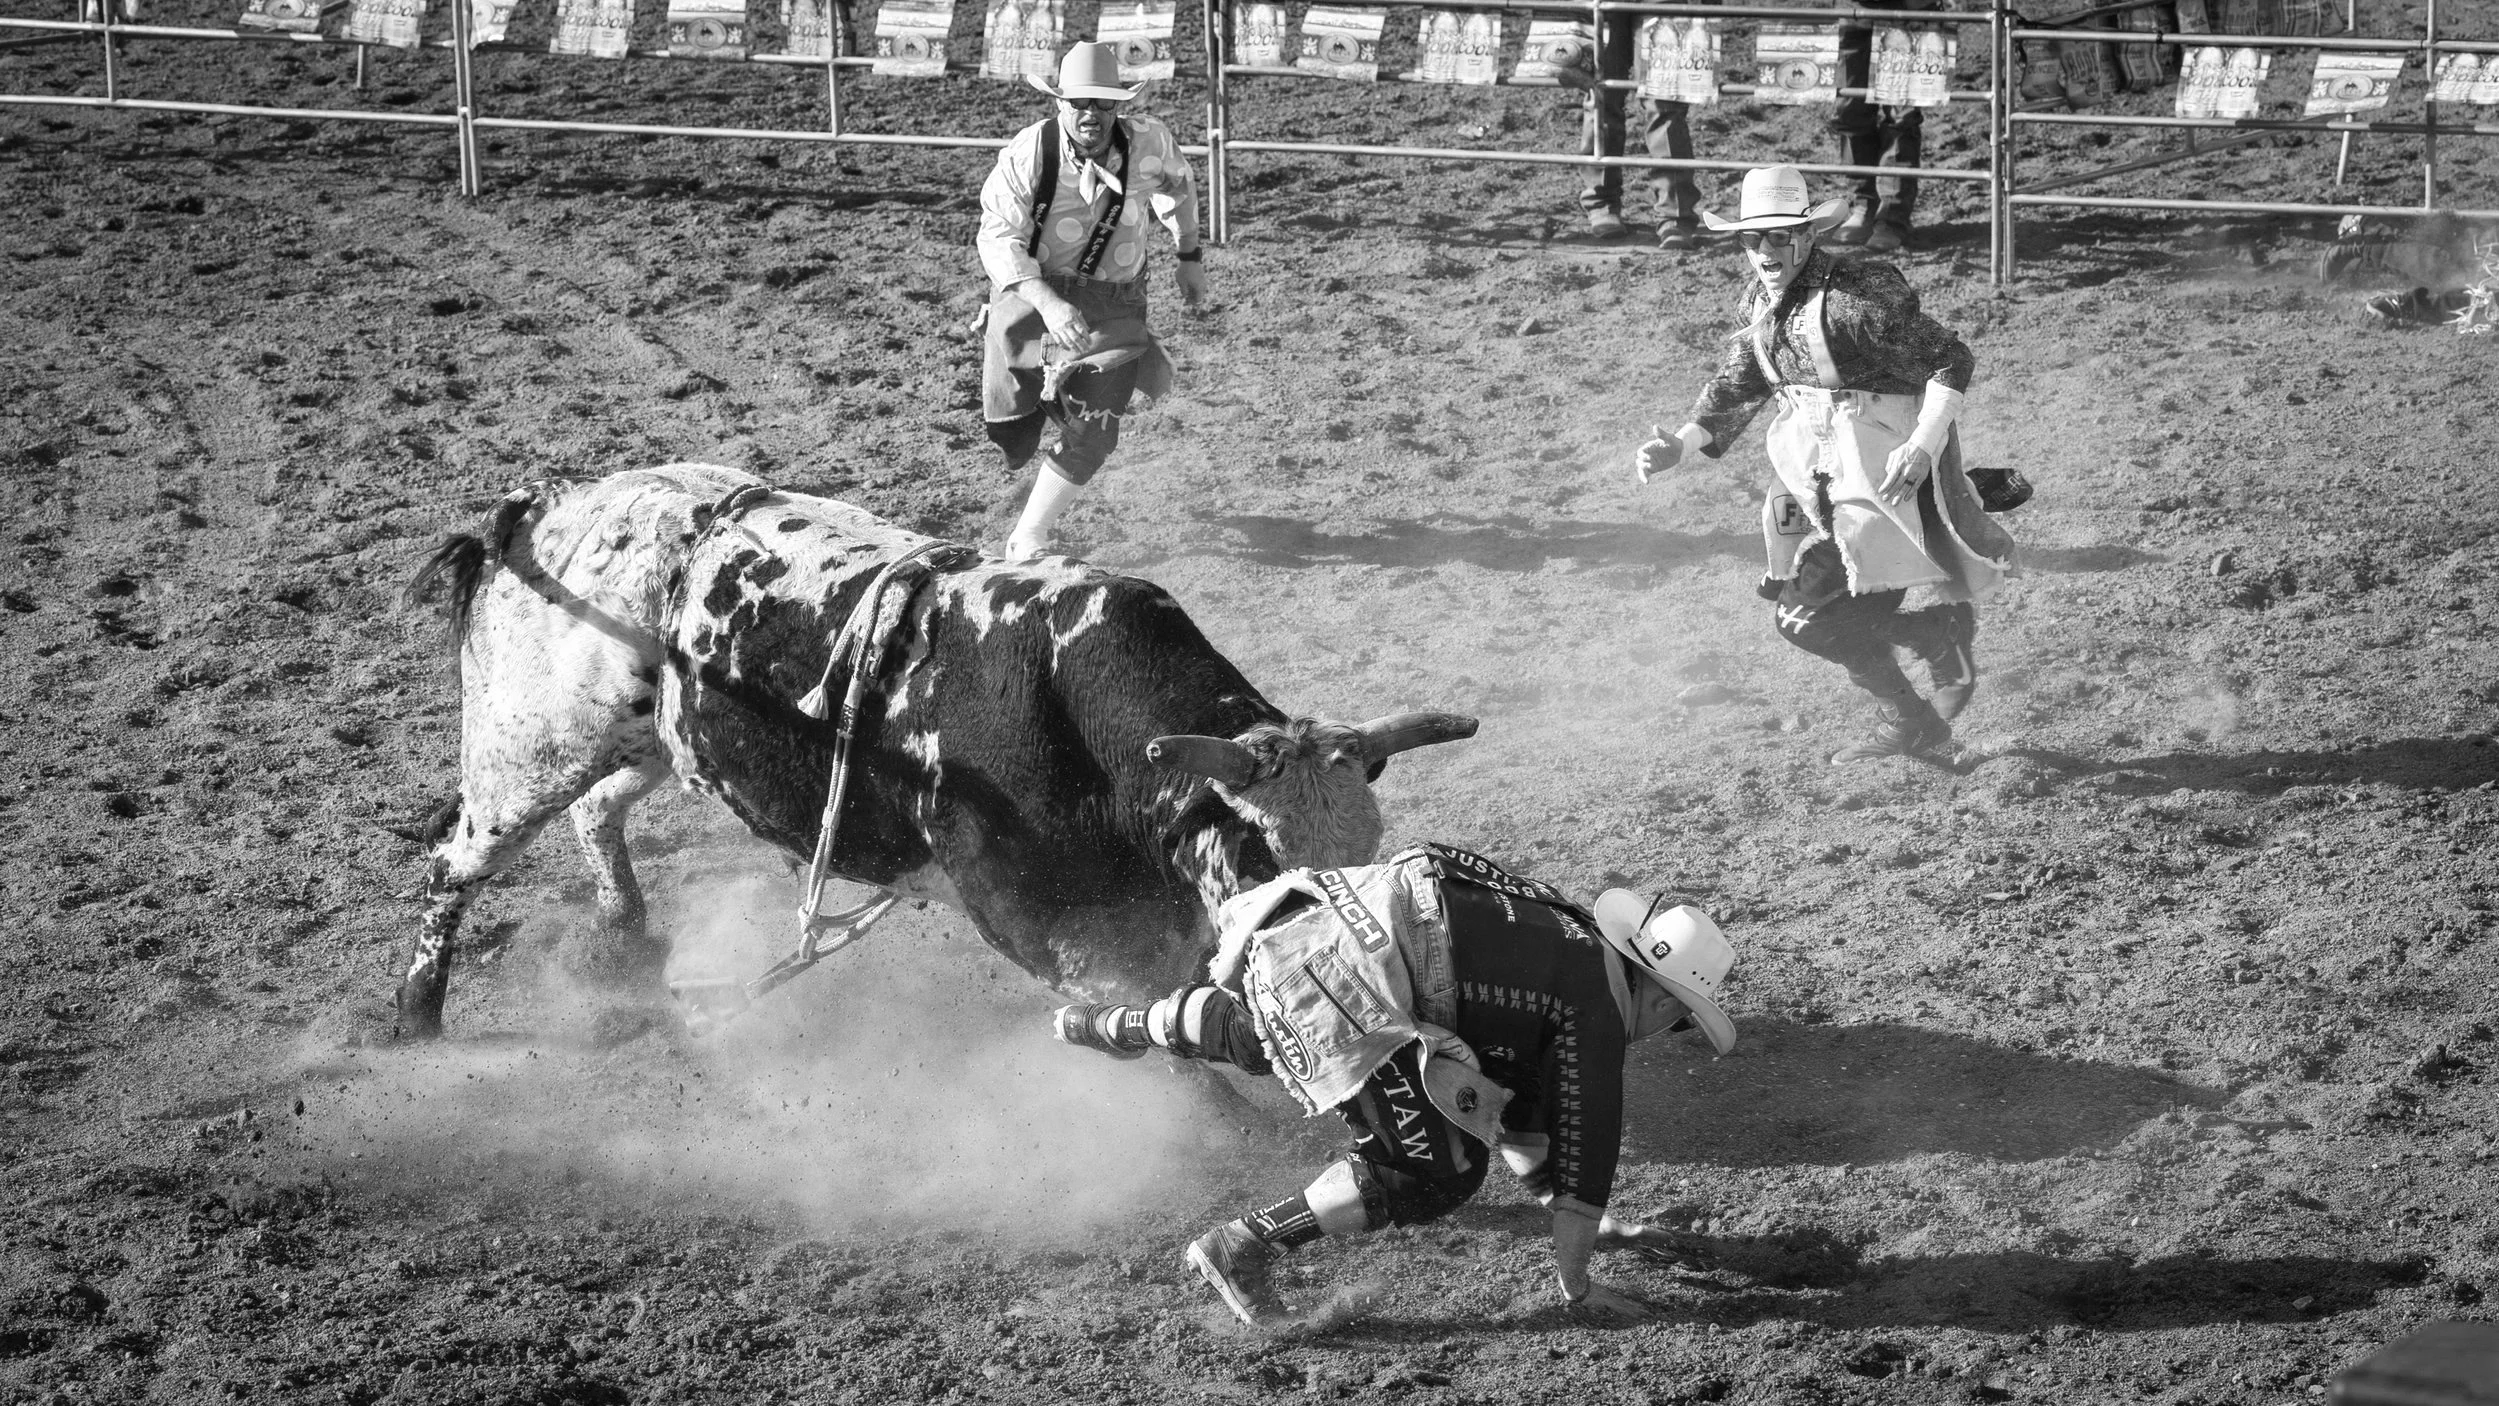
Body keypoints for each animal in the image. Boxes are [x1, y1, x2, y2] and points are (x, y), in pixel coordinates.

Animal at [398, 464, 1475, 1038]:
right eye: (1267, 857)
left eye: (1364, 851)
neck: (1062, 706)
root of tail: (545, 506)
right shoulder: (1044, 925)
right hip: (529, 747)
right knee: (456, 861)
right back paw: (417, 1014)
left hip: (652, 742)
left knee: (598, 813)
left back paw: (621, 940)